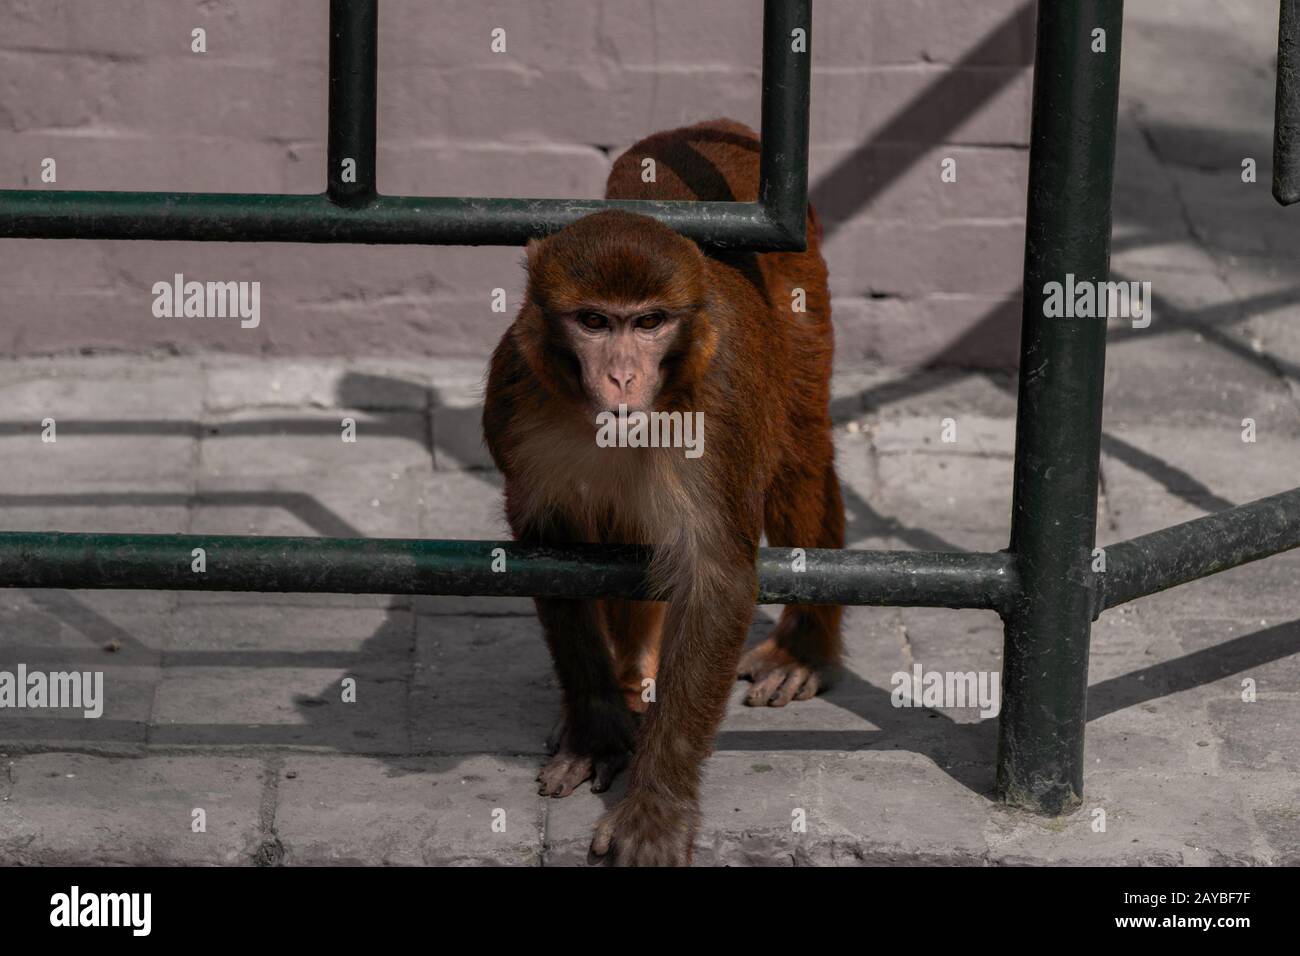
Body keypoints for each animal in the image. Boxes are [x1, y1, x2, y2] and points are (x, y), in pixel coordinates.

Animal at [482, 118, 843, 866]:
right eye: (594, 321)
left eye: (648, 323)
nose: (622, 377)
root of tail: (711, 132)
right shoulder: (516, 391)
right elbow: (550, 545)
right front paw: (597, 730)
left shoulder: (720, 403)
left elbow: (716, 576)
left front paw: (654, 810)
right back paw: (629, 681)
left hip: (803, 302)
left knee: (798, 456)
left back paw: (806, 649)